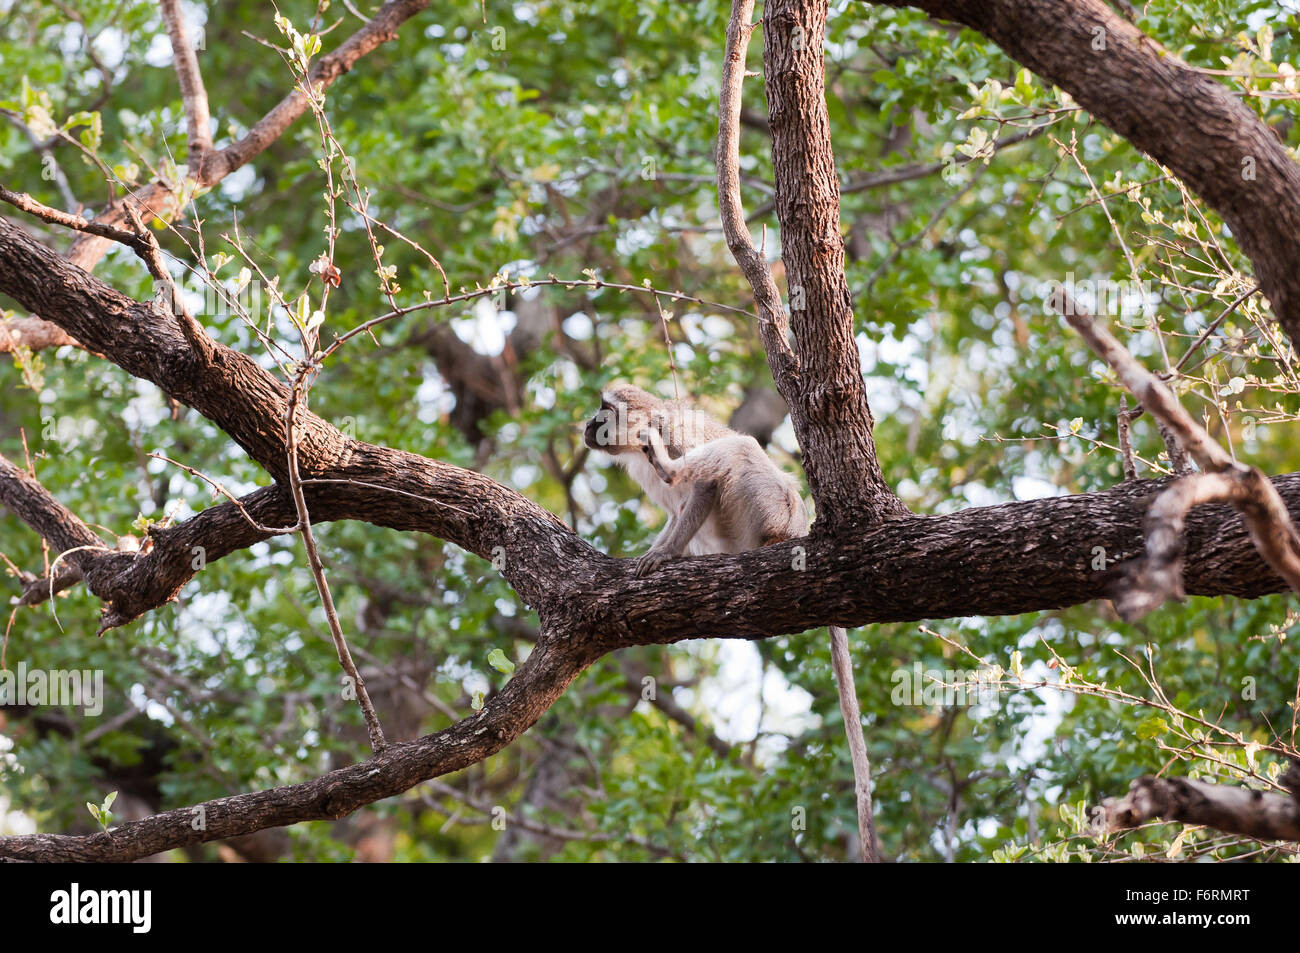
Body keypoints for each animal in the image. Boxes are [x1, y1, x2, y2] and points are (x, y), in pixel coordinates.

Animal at [583, 384, 878, 861]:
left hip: (767, 511)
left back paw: (669, 470)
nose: (590, 422)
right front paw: (656, 551)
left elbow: (702, 487)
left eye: (606, 410)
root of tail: (798, 528)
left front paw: (665, 554)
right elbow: (675, 515)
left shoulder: (677, 436)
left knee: (740, 450)